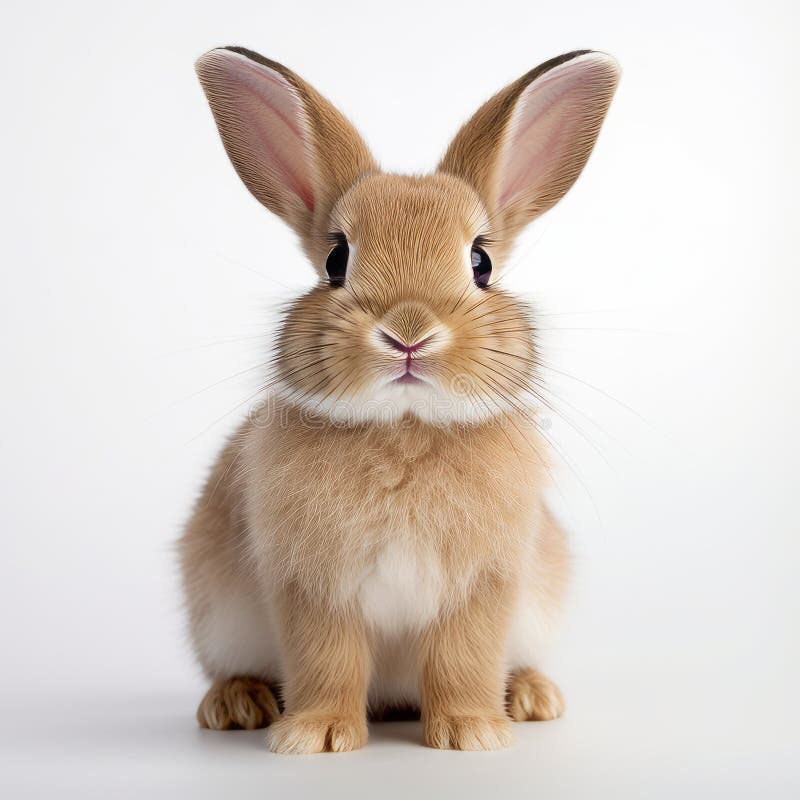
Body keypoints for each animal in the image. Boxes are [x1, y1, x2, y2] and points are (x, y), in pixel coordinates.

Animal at [179, 45, 619, 753]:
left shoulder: (482, 587)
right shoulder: (312, 587)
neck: (405, 427)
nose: (408, 332)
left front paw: (473, 733)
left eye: (480, 262)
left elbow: (464, 661)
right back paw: (237, 704)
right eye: (336, 261)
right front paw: (317, 737)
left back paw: (531, 696)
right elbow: (327, 662)